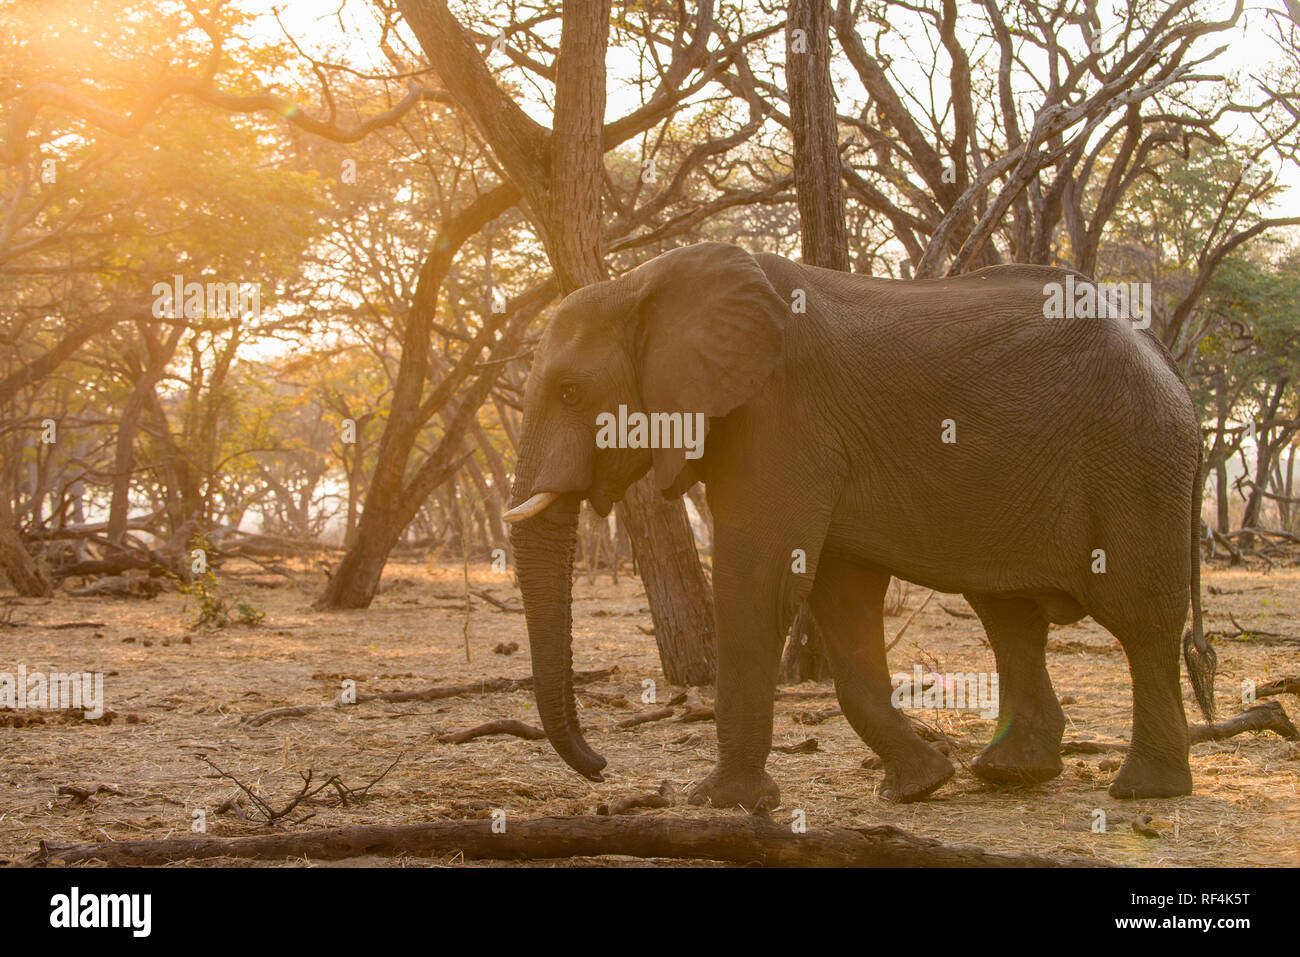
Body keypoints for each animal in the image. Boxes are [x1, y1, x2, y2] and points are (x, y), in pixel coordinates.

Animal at [504, 241, 1216, 809]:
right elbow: (840, 598)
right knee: (1010, 614)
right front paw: (919, 787)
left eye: (570, 393)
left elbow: (761, 584)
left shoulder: (780, 415)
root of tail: (1165, 355)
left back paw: (1144, 791)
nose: (601, 769)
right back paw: (1011, 775)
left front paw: (720, 802)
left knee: (1141, 619)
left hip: (1138, 460)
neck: (640, 282)